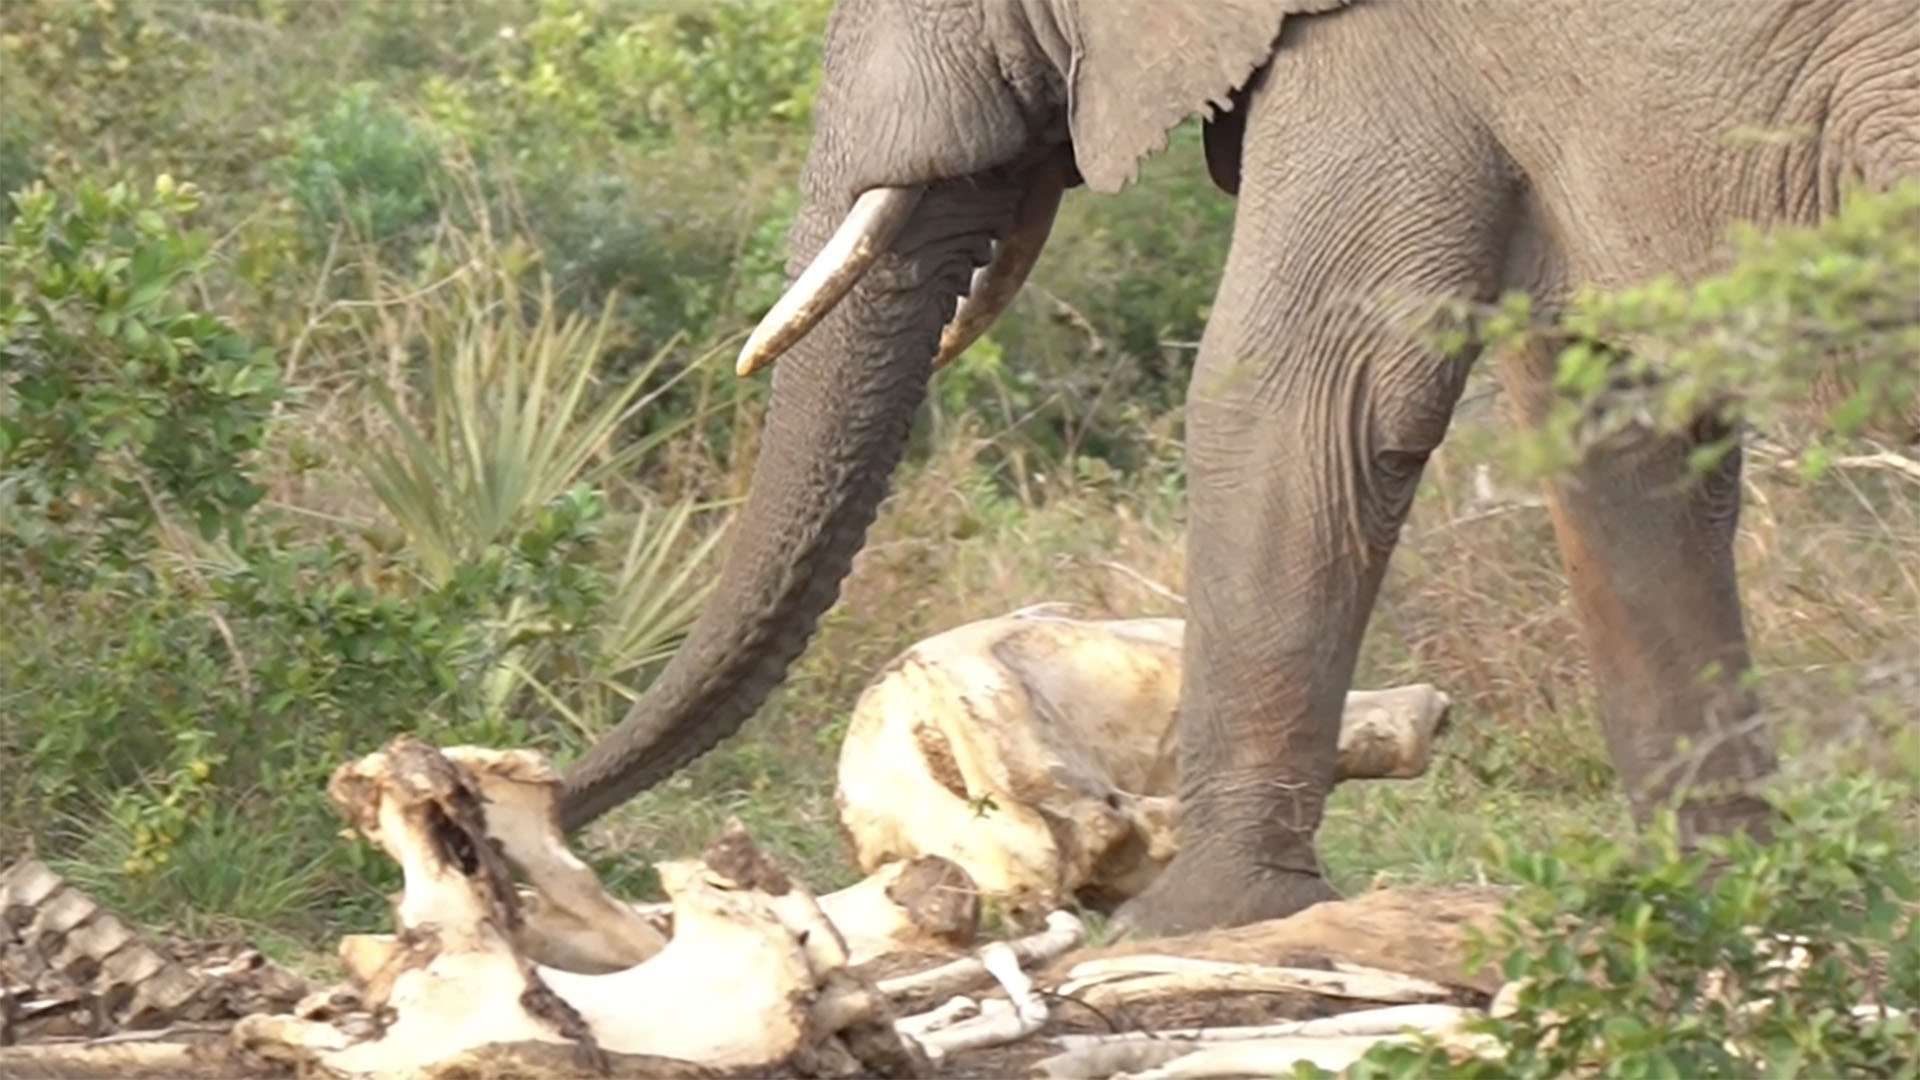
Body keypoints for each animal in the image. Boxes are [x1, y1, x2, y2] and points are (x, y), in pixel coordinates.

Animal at [556, 0, 1920, 935]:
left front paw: (1190, 925)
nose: (548, 804)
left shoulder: (1377, 41)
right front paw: (1720, 901)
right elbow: (1615, 423)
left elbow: (1292, 399)